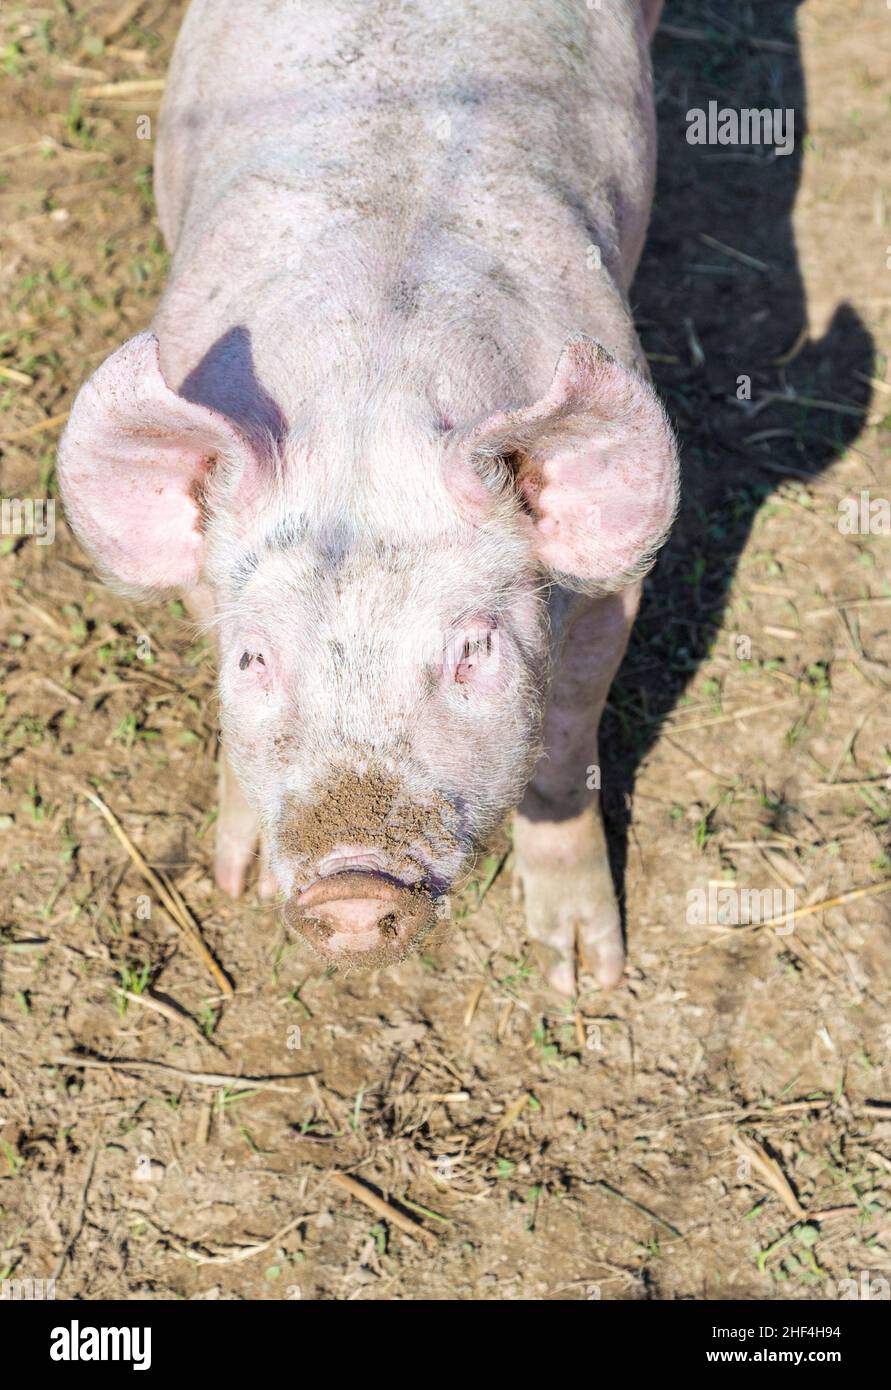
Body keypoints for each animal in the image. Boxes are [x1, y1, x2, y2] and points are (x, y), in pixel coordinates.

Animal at [58, 0, 677, 994]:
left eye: (472, 651)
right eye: (254, 660)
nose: (353, 886)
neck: (371, 398)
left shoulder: (613, 585)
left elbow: (564, 749)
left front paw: (584, 975)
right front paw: (234, 882)